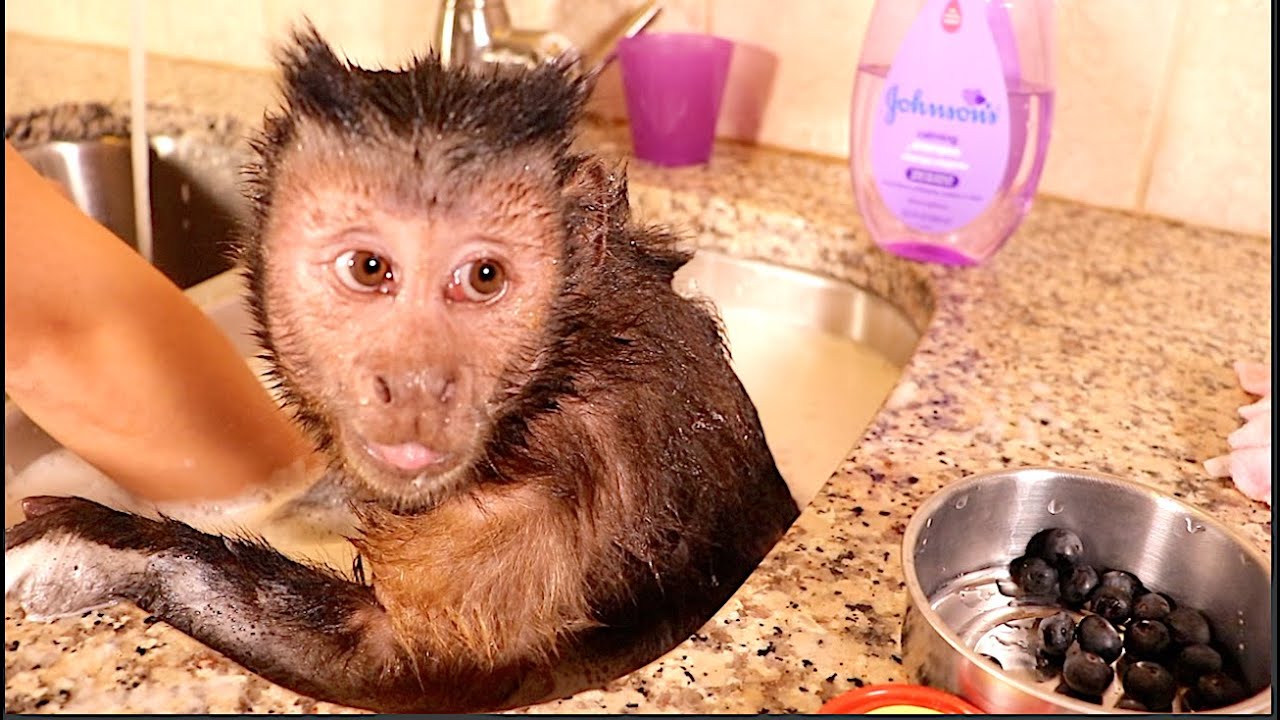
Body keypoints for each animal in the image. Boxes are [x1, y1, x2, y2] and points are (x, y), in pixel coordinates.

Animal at [4, 25, 799, 713]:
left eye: (483, 277)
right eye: (369, 268)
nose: (415, 385)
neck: (555, 379)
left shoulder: (563, 486)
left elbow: (405, 665)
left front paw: (109, 551)